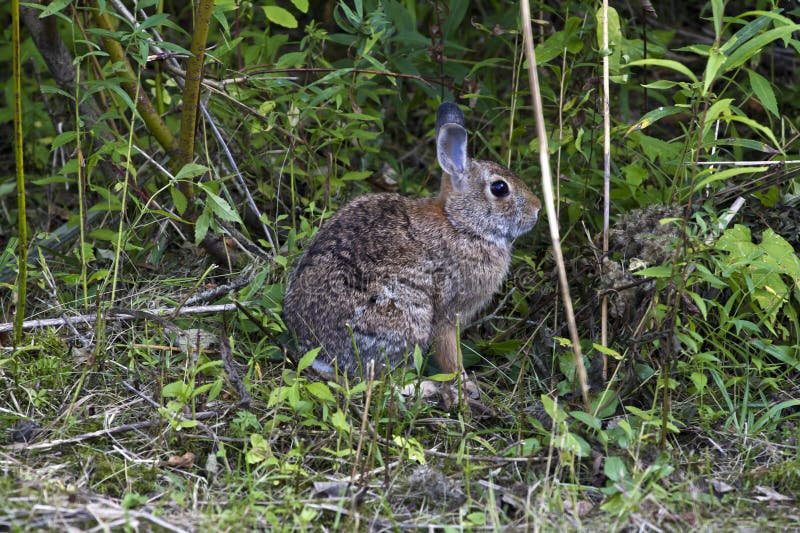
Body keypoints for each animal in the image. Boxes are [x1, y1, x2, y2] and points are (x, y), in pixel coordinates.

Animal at [283, 102, 541, 390]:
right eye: (499, 188)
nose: (538, 210)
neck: (461, 224)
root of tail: (317, 352)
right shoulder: (447, 311)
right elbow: (448, 351)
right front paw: (465, 385)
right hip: (403, 316)